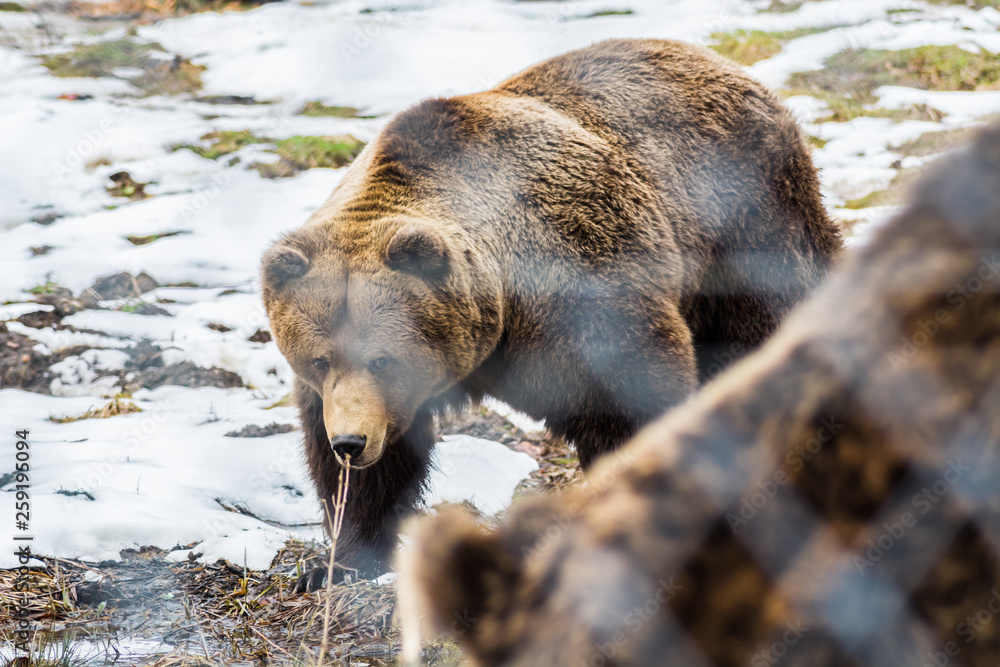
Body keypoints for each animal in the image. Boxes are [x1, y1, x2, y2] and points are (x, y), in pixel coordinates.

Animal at [261, 38, 841, 581]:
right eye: (318, 359)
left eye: (383, 358)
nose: (351, 441)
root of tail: (718, 61)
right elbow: (369, 472)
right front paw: (335, 563)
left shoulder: (576, 288)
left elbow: (627, 396)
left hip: (743, 216)